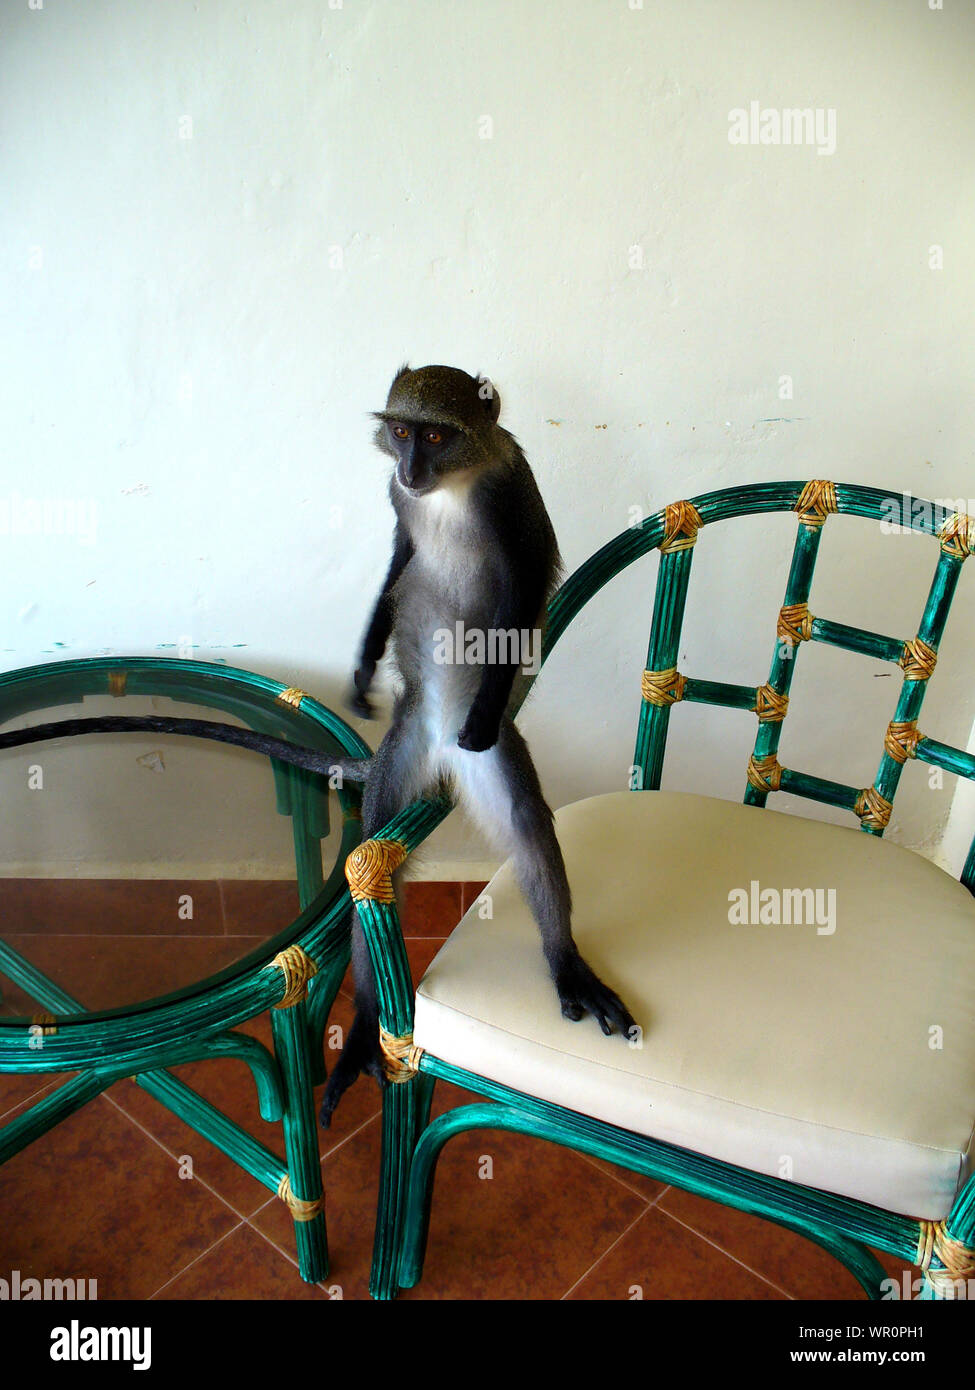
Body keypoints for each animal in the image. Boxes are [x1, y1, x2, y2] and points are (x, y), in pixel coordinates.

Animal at [319, 364, 636, 1127]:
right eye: (403, 430)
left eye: (436, 436)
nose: (409, 468)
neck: (450, 488)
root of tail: (438, 753)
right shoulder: (398, 505)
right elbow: (401, 557)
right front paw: (364, 665)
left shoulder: (511, 489)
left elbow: (524, 582)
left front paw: (484, 710)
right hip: (400, 747)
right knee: (372, 858)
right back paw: (367, 1022)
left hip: (488, 757)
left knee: (528, 827)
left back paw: (565, 962)